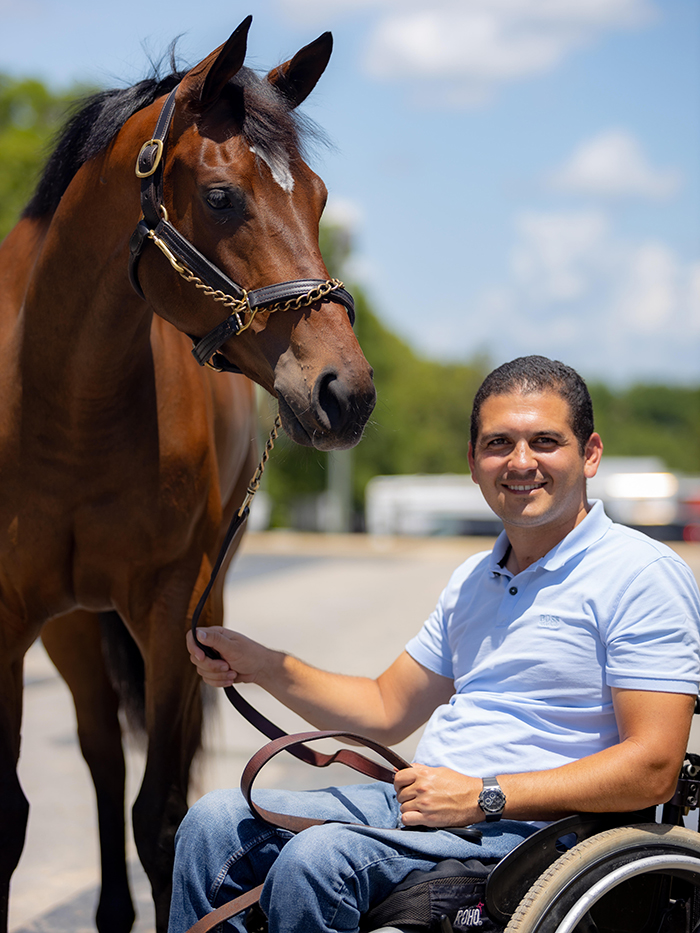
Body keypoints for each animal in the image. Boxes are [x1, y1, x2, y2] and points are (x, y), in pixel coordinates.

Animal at [0, 17, 375, 933]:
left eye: (318, 197)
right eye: (221, 196)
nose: (346, 391)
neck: (60, 399)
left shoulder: (173, 609)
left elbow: (162, 814)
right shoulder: (4, 617)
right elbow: (16, 813)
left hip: (203, 602)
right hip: (70, 624)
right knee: (100, 752)